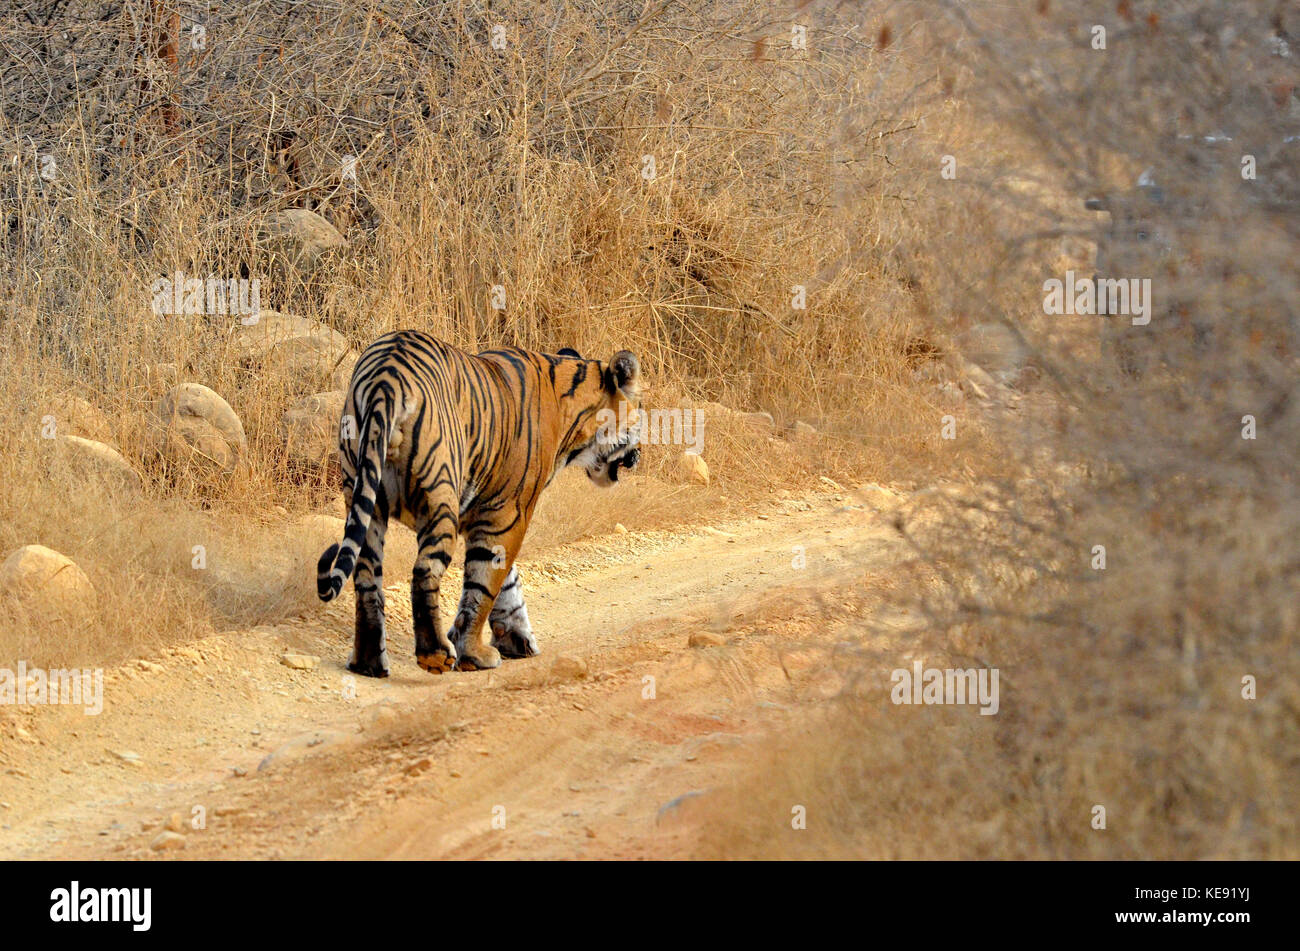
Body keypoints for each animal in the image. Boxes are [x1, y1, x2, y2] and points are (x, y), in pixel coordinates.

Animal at [317, 330, 642, 676]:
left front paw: (516, 639)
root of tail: (385, 376)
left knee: (366, 575)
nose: (639, 454)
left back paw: (368, 663)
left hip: (365, 499)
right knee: (424, 569)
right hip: (439, 495)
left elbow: (507, 582)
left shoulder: (484, 513)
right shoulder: (507, 513)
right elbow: (485, 584)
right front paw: (474, 653)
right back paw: (434, 654)